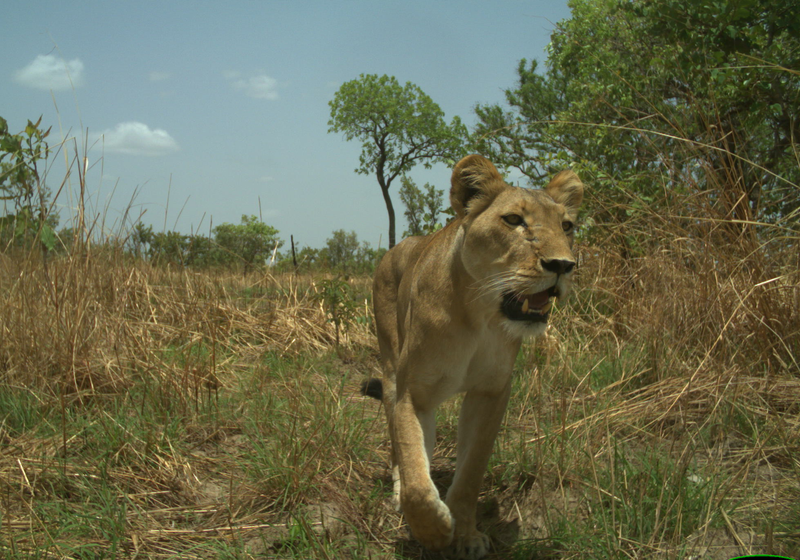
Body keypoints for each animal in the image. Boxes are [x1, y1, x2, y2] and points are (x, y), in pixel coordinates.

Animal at [362, 155, 584, 559]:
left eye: (567, 226)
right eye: (513, 220)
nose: (563, 265)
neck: (479, 316)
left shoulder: (491, 392)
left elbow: (470, 472)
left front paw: (465, 535)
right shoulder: (411, 392)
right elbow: (414, 466)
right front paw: (434, 531)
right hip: (389, 368)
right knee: (400, 448)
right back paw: (401, 492)